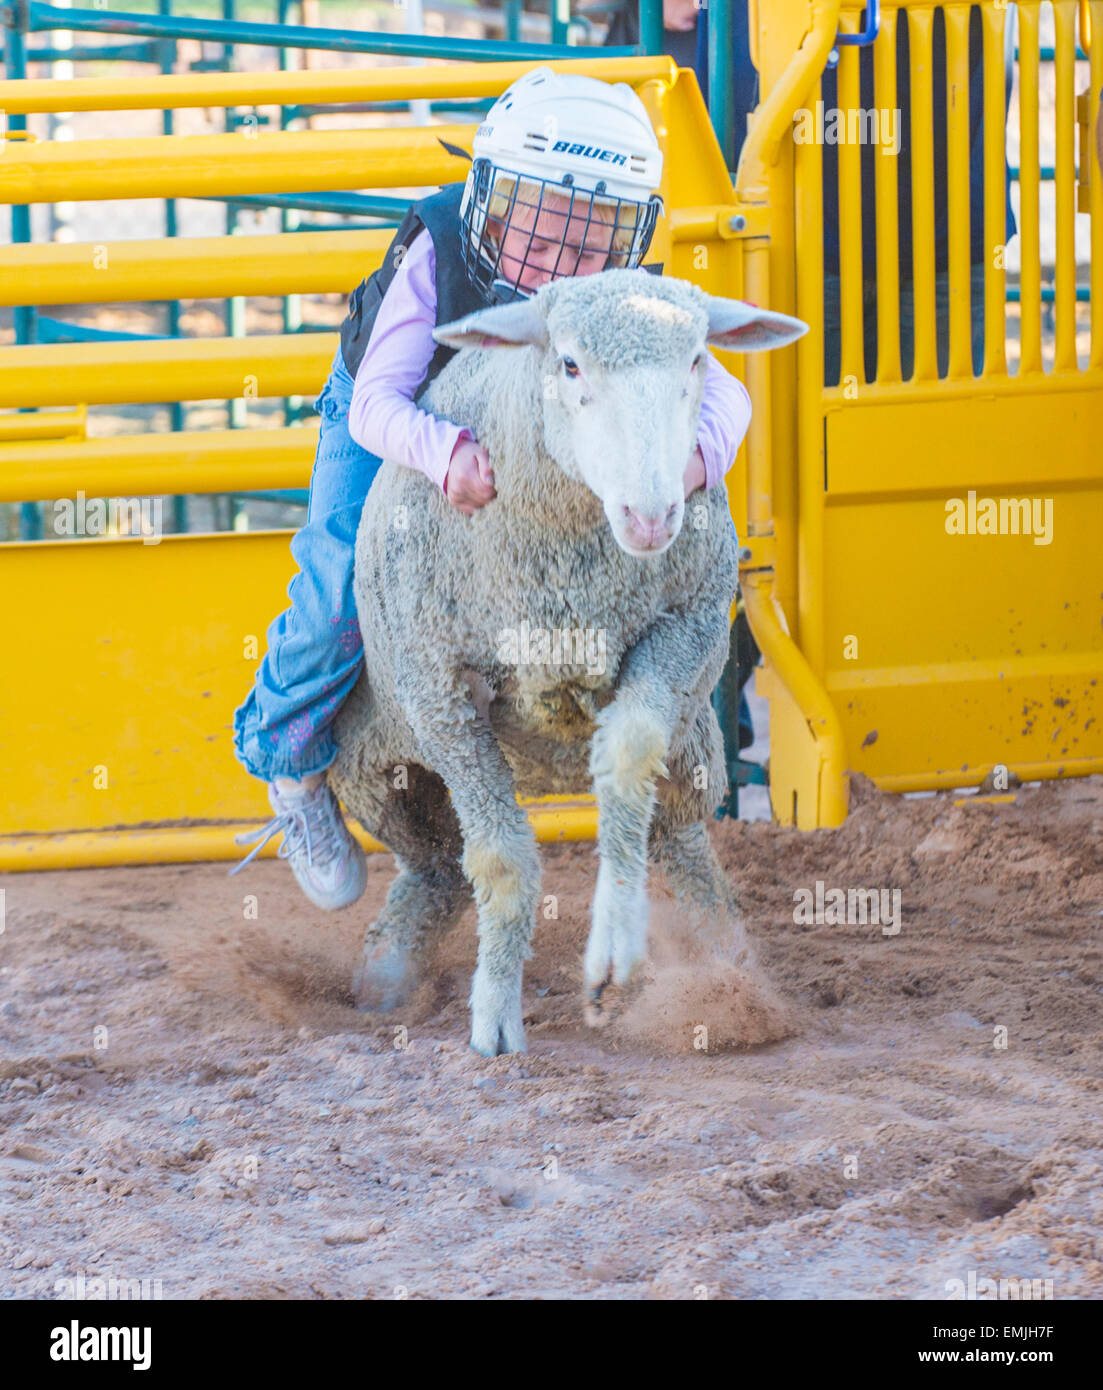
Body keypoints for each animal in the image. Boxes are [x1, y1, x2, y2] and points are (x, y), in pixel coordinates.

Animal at [329, 268, 807, 1056]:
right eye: (571, 365)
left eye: (698, 361)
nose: (652, 516)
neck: (570, 577)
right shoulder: (440, 693)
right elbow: (500, 859)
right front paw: (494, 1014)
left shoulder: (686, 629)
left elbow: (627, 760)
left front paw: (614, 945)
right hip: (374, 766)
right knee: (437, 861)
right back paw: (386, 970)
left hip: (697, 743)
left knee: (675, 834)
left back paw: (728, 968)